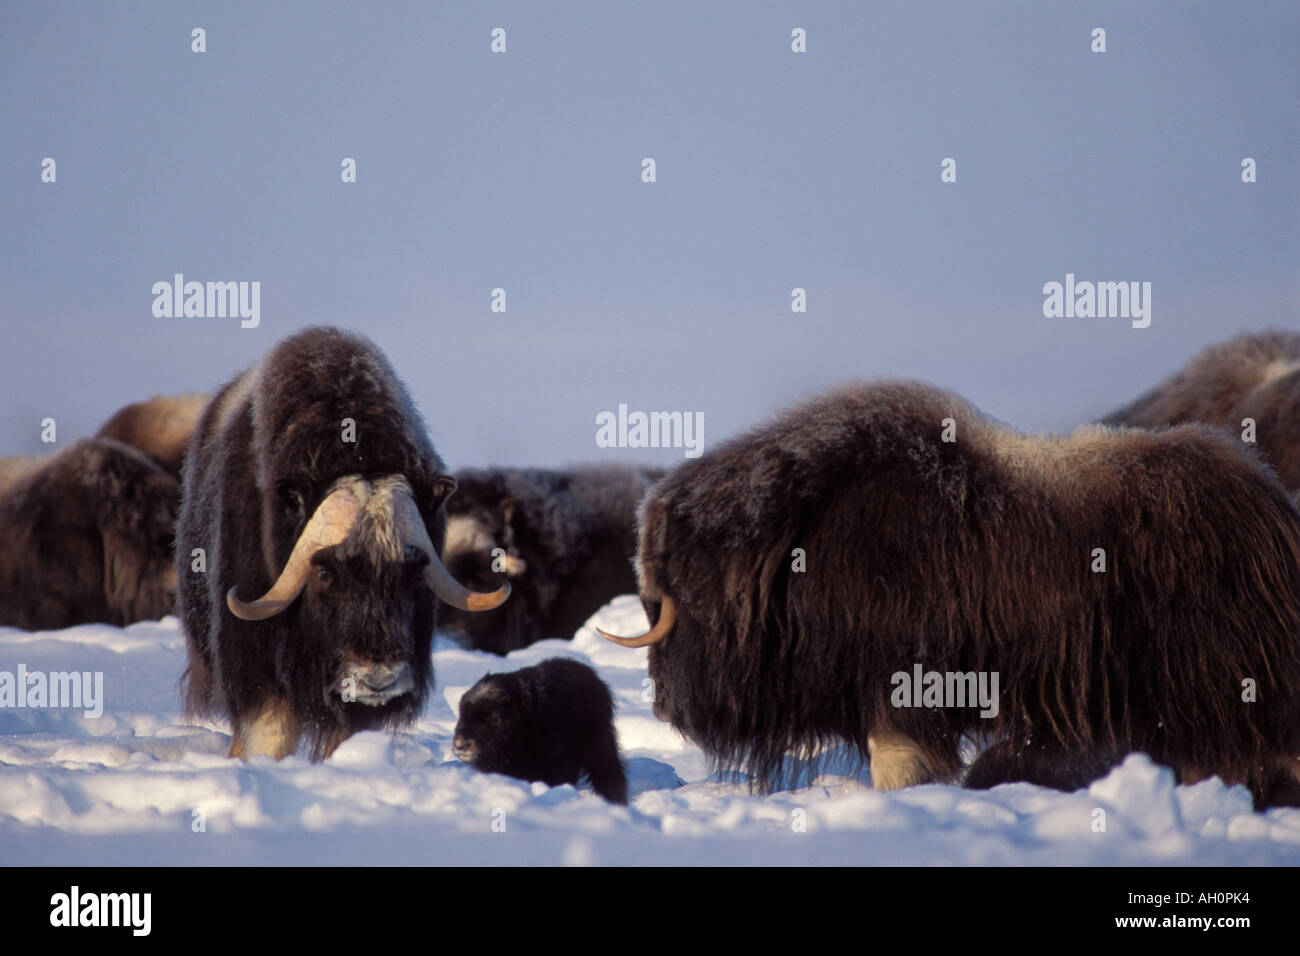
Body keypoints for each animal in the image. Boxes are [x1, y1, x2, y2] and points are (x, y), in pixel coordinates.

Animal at [599, 381, 1300, 808]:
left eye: (665, 597)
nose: (660, 704)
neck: (789, 544)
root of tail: (1273, 509)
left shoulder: (902, 690)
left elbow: (900, 760)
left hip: (1225, 684)